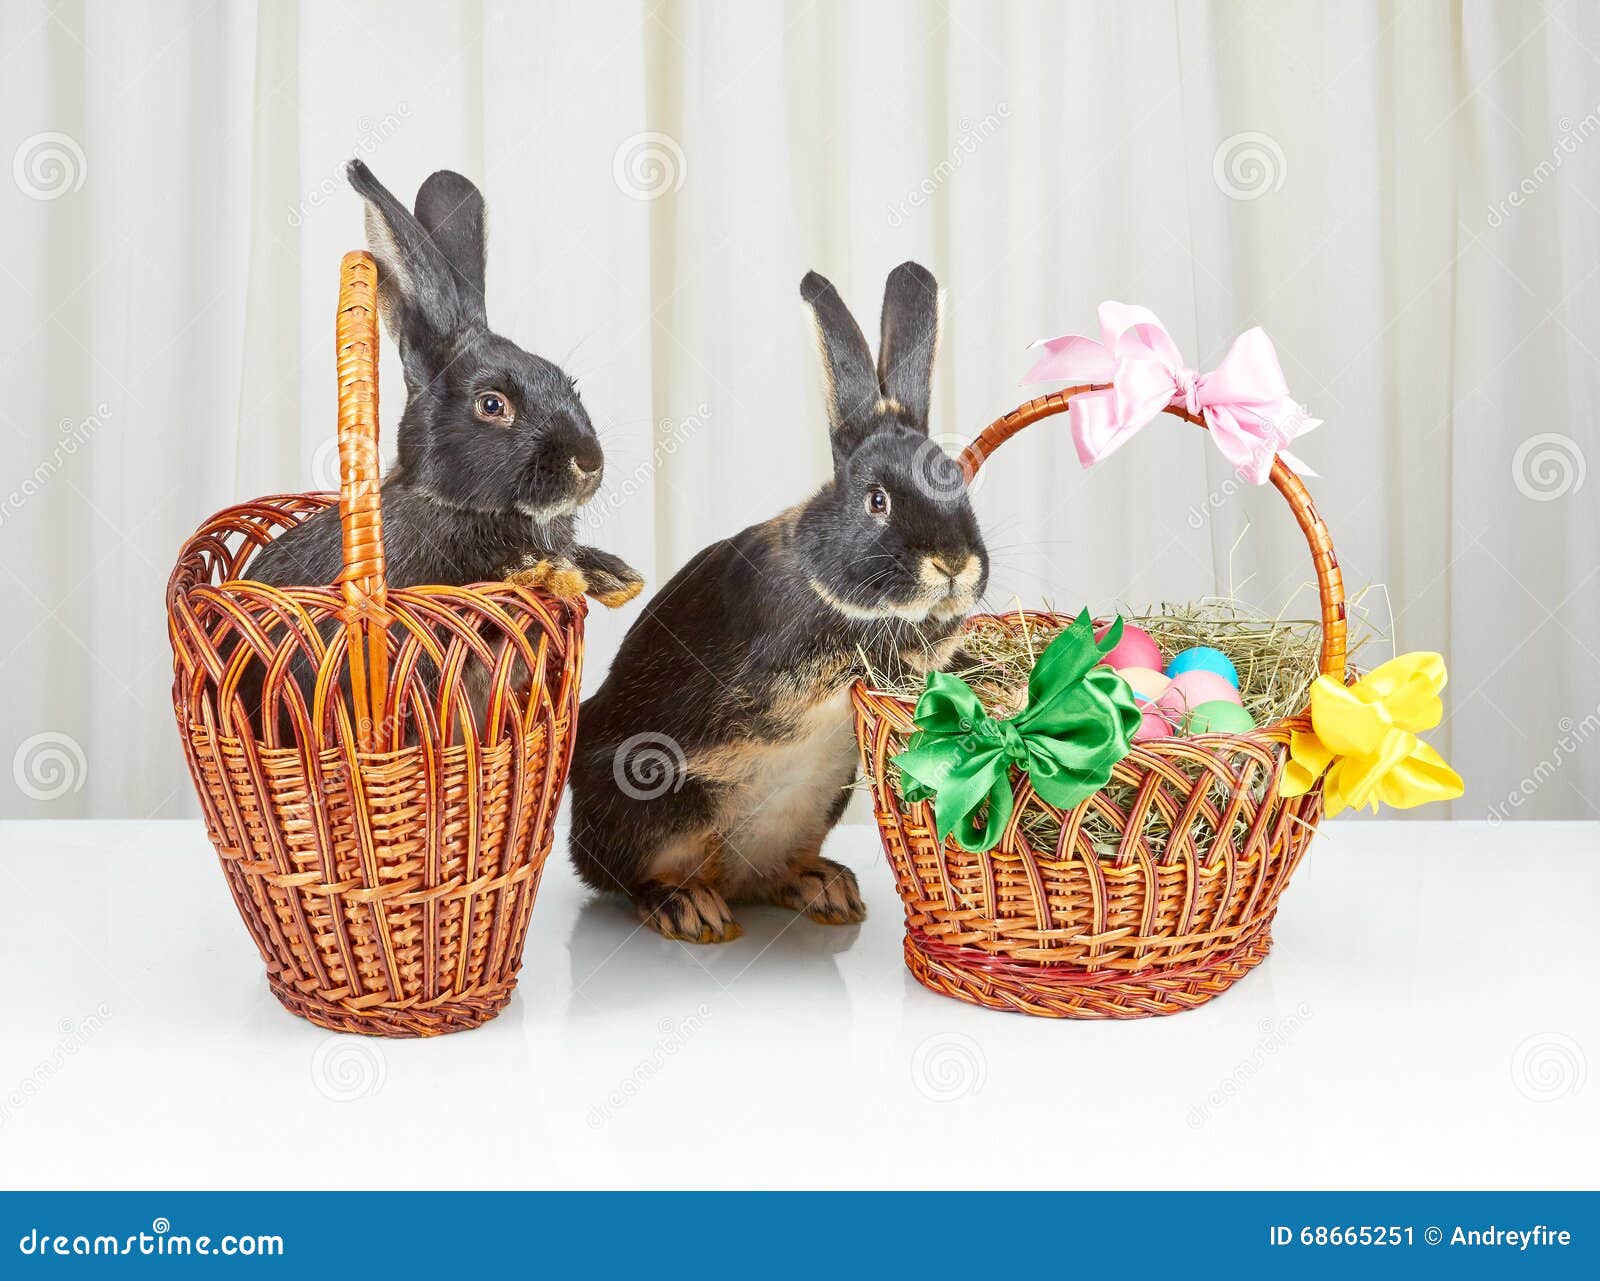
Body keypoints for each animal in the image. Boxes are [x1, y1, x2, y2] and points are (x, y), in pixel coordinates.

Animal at [568, 262, 988, 943]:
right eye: (877, 500)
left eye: (961, 489)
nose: (953, 563)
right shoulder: (773, 678)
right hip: (659, 808)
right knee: (631, 879)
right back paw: (689, 908)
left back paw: (826, 889)